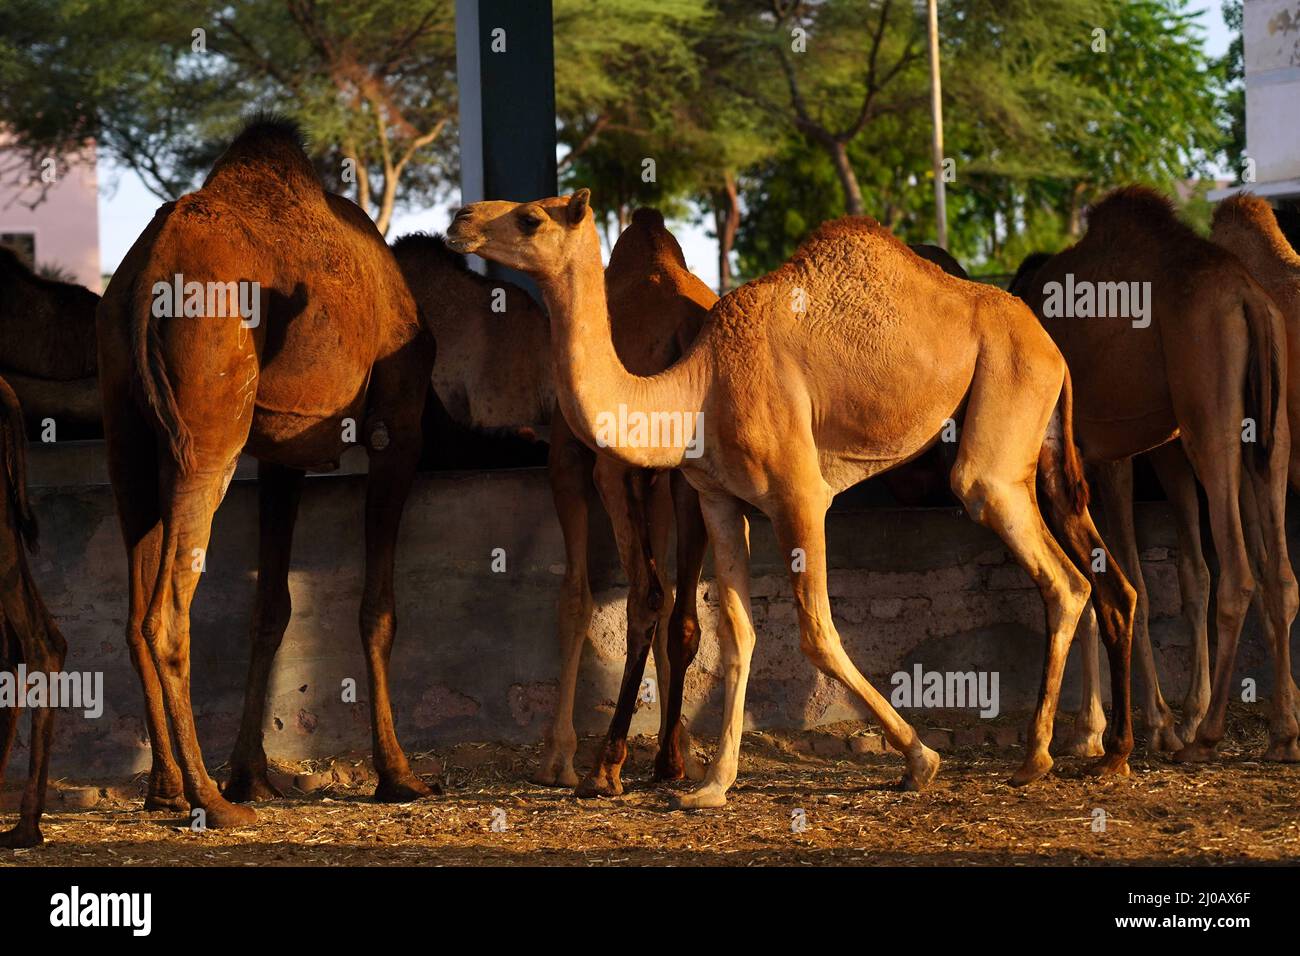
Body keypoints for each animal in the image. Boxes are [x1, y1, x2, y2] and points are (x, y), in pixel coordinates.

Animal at [97, 118, 437, 828]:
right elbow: (378, 608)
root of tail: (142, 281)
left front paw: (252, 774)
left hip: (125, 434)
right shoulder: (399, 424)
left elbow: (271, 607)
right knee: (165, 612)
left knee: (135, 610)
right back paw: (209, 802)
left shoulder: (285, 450)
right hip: (209, 428)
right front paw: (399, 775)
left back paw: (167, 789)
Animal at [397, 212, 714, 795]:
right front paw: (675, 748)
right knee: (677, 610)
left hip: (611, 468)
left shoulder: (566, 460)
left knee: (644, 596)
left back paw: (605, 766)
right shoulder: (656, 476)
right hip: (686, 473)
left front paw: (556, 758)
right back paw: (666, 760)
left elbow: (574, 598)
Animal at [447, 190, 1137, 806]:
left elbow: (816, 633)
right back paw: (1082, 749)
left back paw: (1037, 758)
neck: (695, 389)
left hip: (998, 429)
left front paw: (921, 759)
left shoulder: (800, 495)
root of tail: (1051, 344)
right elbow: (737, 633)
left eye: (531, 218)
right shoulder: (718, 499)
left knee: (1054, 571)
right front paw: (711, 785)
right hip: (1040, 444)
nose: (460, 219)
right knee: (1085, 577)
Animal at [1019, 187, 1299, 764]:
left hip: (1206, 420)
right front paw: (1109, 728)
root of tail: (1249, 299)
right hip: (1270, 430)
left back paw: (1206, 736)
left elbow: (1122, 580)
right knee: (1279, 575)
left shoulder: (1100, 454)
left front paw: (1117, 728)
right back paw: (1283, 734)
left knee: (1238, 573)